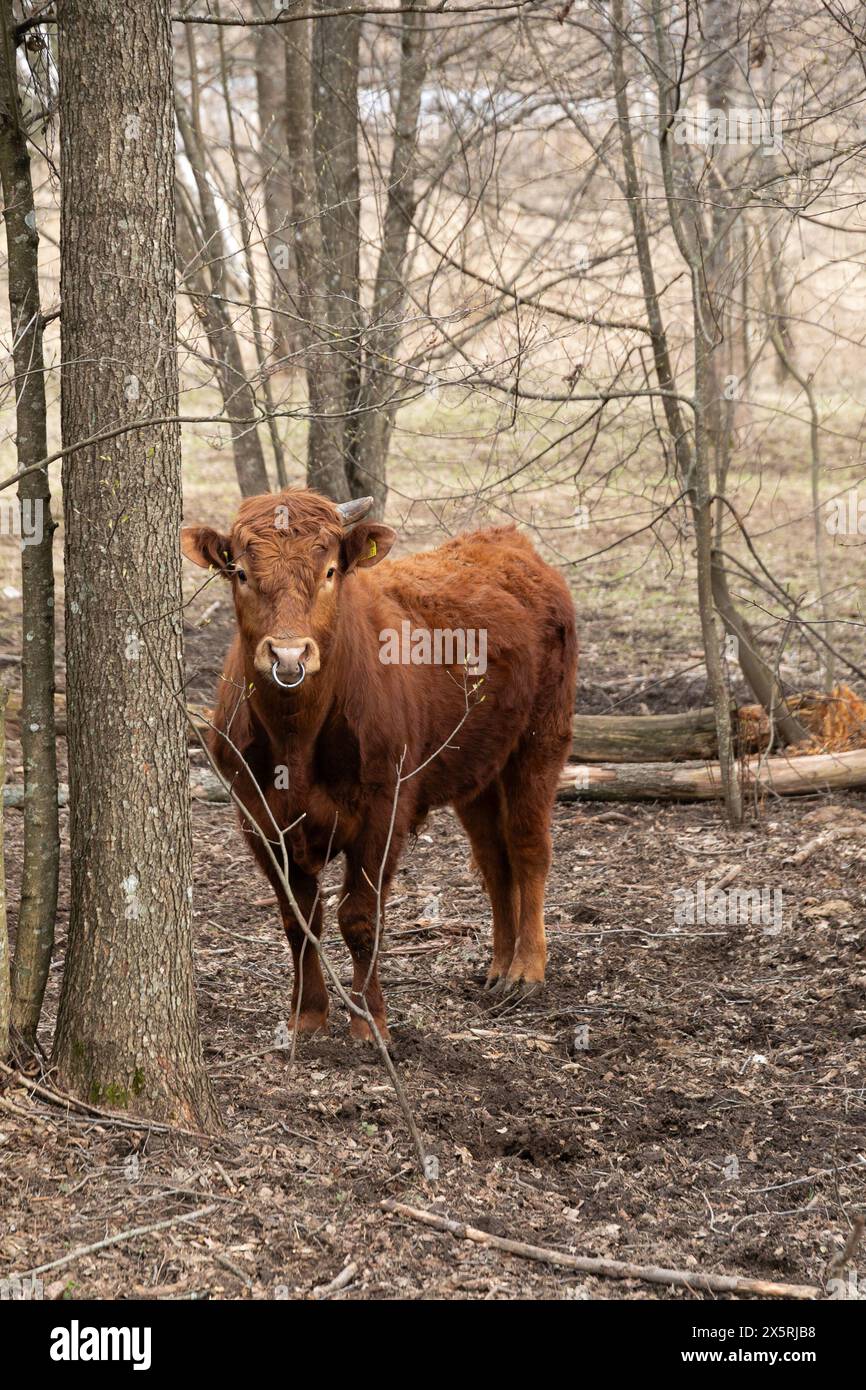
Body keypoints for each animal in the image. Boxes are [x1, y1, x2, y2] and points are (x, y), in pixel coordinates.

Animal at [182, 489, 577, 1041]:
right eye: (239, 571)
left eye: (329, 570)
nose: (288, 654)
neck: (296, 741)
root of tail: (508, 542)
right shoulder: (258, 819)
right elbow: (298, 919)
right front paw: (306, 1016)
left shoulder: (383, 809)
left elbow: (360, 917)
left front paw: (370, 1023)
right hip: (477, 768)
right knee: (493, 860)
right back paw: (499, 966)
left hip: (541, 740)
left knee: (528, 848)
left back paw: (526, 969)